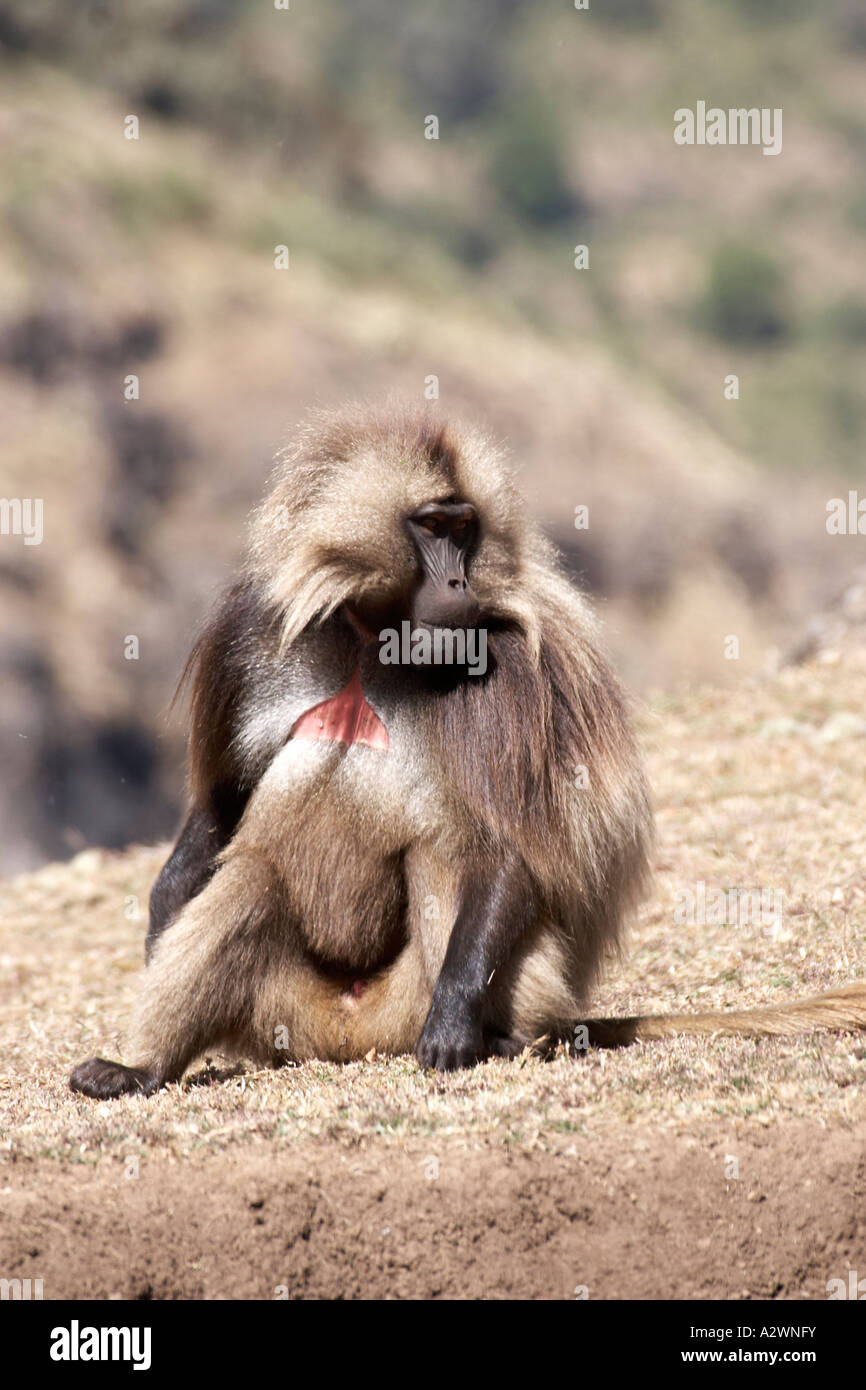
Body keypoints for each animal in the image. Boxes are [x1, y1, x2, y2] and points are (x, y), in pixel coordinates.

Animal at [69, 406, 866, 1100]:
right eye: (431, 527)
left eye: (465, 529)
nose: (457, 582)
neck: (374, 637)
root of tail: (351, 1037)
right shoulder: (248, 634)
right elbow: (223, 803)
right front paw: (157, 930)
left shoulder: (511, 668)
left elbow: (511, 840)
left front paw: (456, 1022)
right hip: (283, 1018)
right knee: (253, 878)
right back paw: (138, 1069)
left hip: (458, 995)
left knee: (445, 855)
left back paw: (493, 1039)